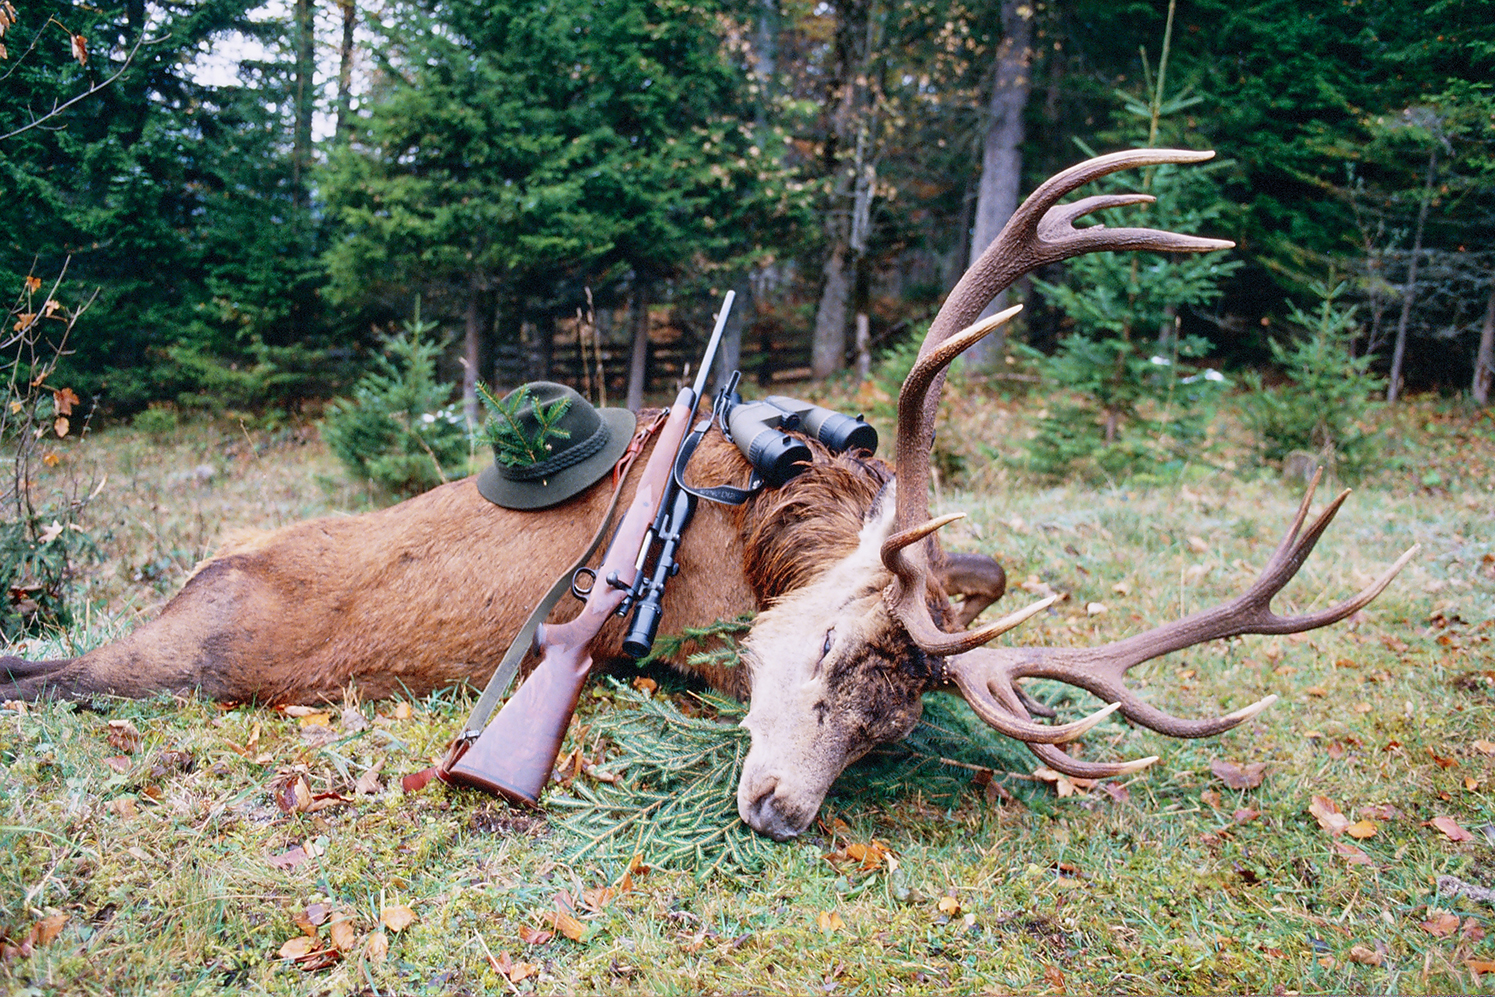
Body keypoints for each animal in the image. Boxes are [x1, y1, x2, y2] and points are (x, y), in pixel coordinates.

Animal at [0, 150, 1415, 841]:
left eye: (895, 728)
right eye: (831, 654)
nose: (782, 812)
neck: (775, 517)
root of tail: (200, 571)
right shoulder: (679, 629)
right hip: (175, 657)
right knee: (50, 670)